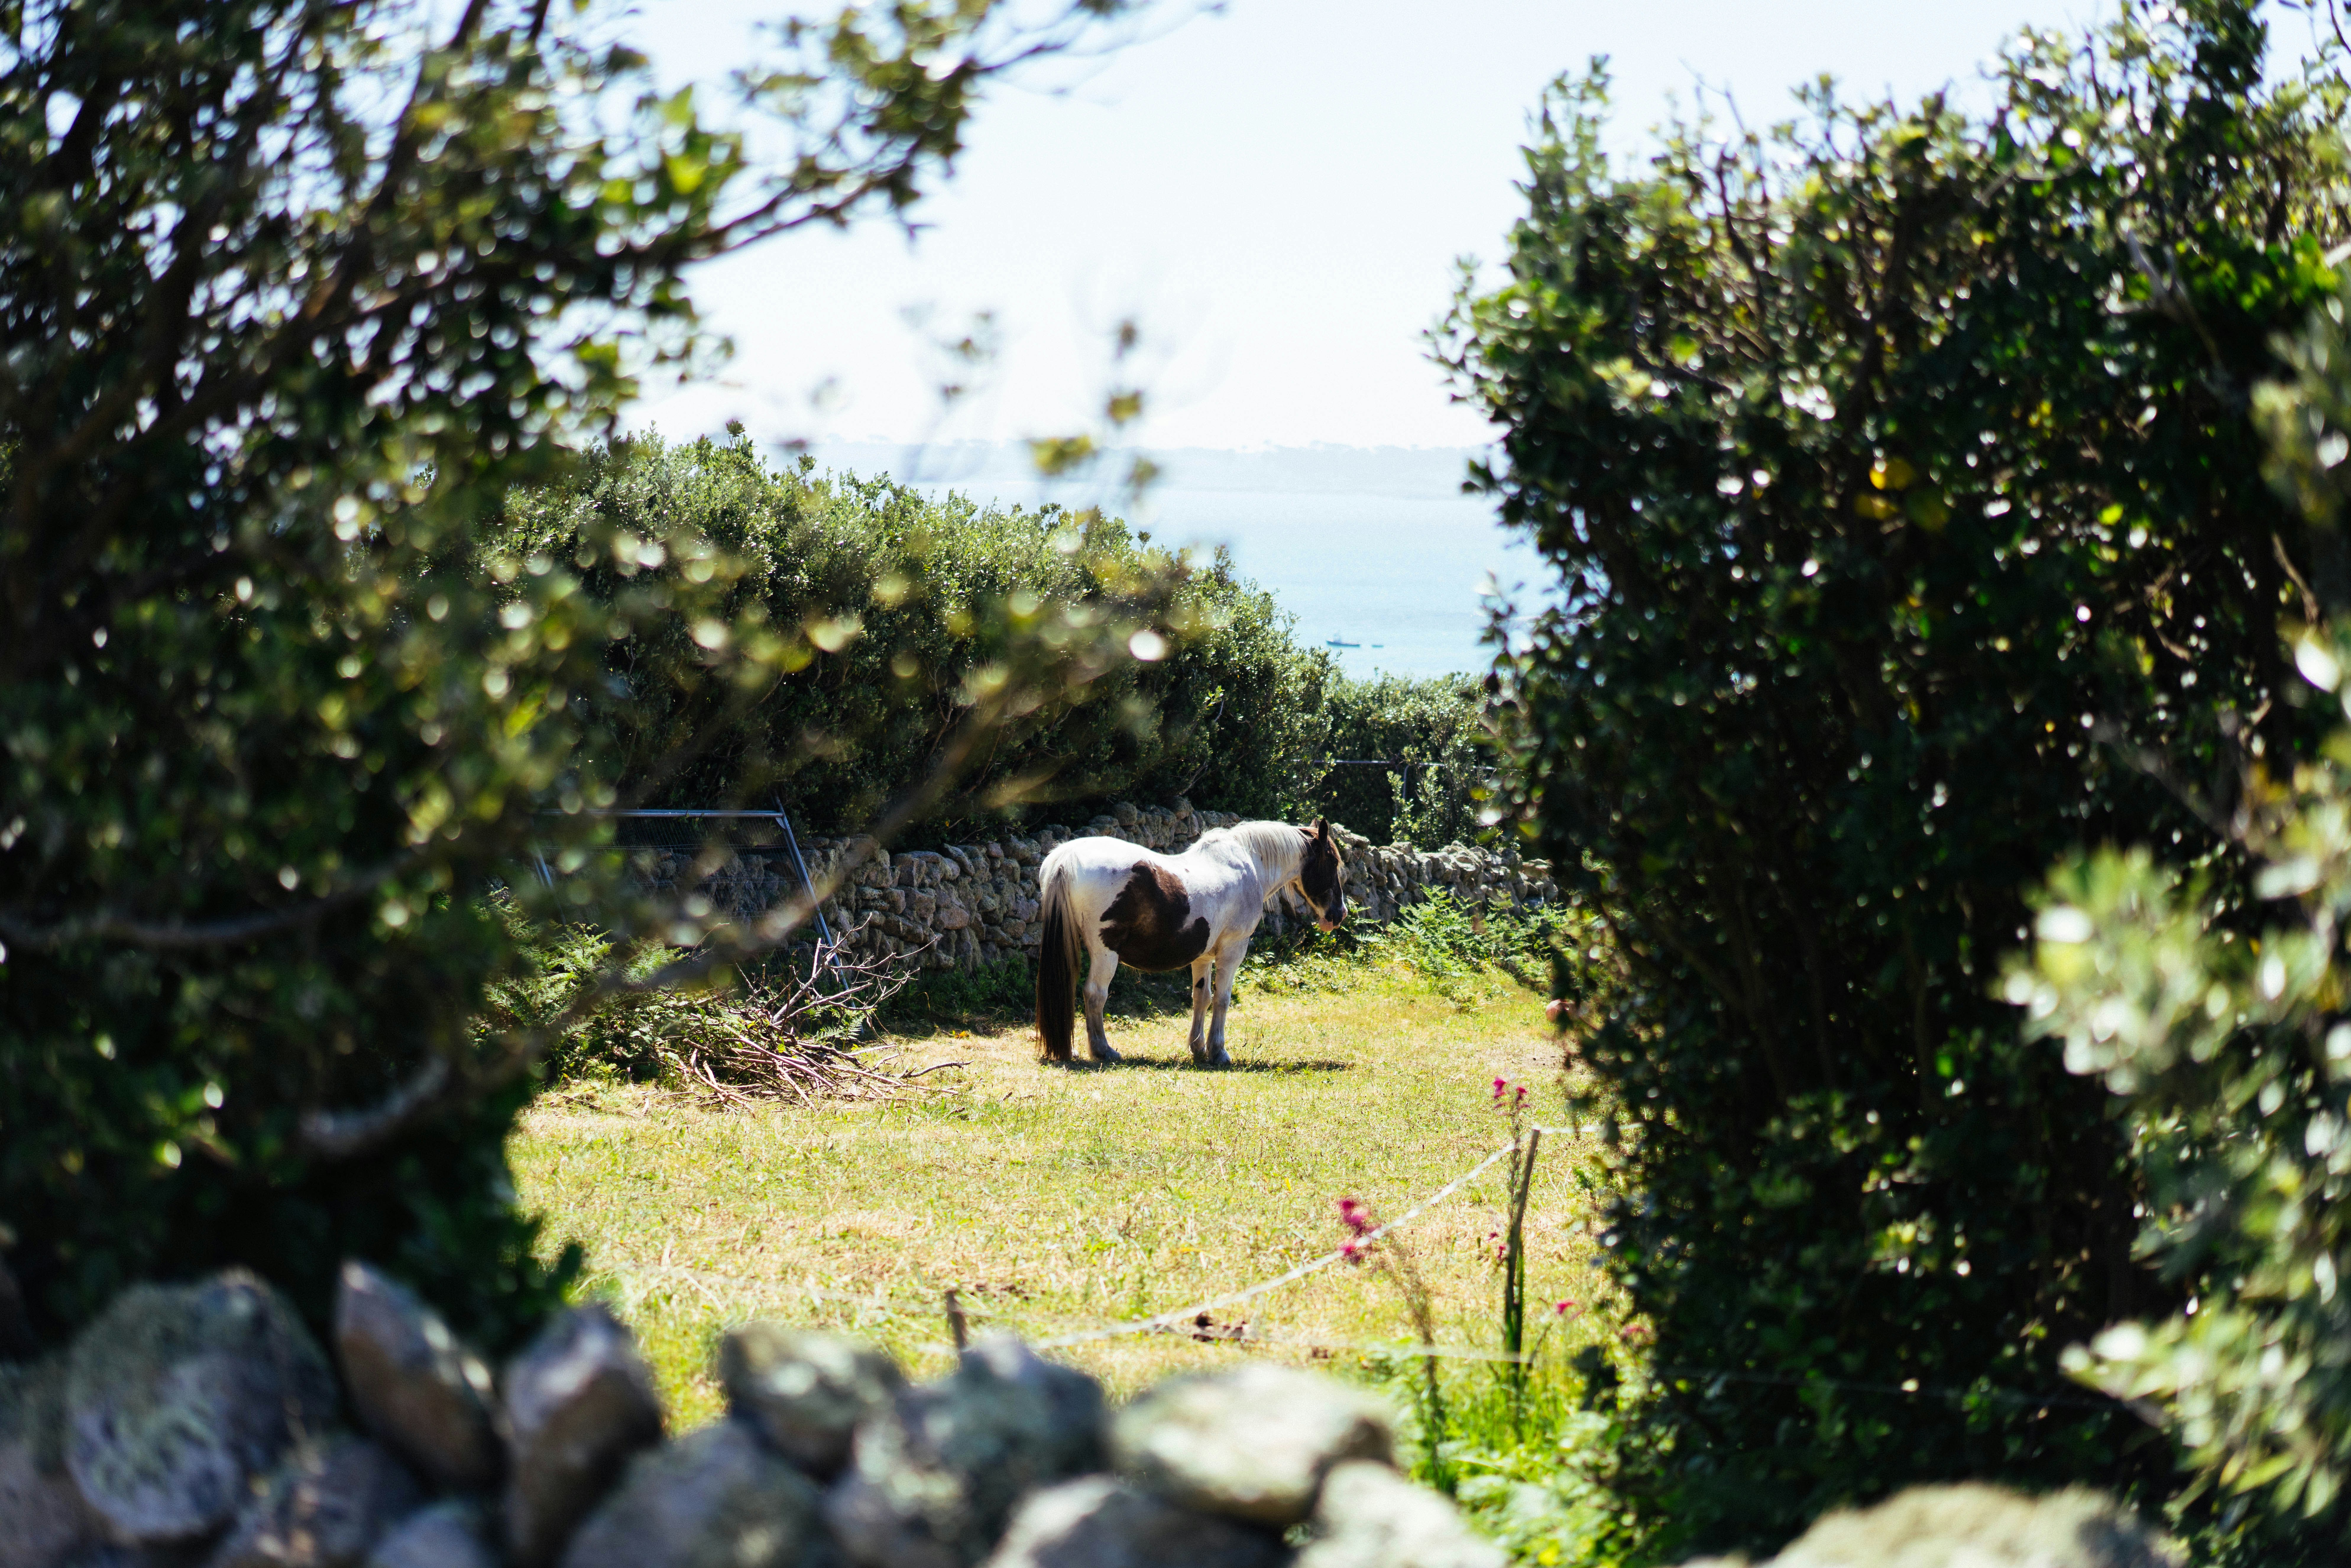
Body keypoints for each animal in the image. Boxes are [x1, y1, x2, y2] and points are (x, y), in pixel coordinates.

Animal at [1034, 818, 1347, 1066]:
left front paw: (1198, 1048)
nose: (1339, 914)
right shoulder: (1233, 951)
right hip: (1105, 953)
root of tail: (1066, 858)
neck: (1249, 864)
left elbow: (1202, 998)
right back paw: (1104, 1051)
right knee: (1095, 994)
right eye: (1333, 862)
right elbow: (1222, 999)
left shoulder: (1204, 957)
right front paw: (1218, 1052)